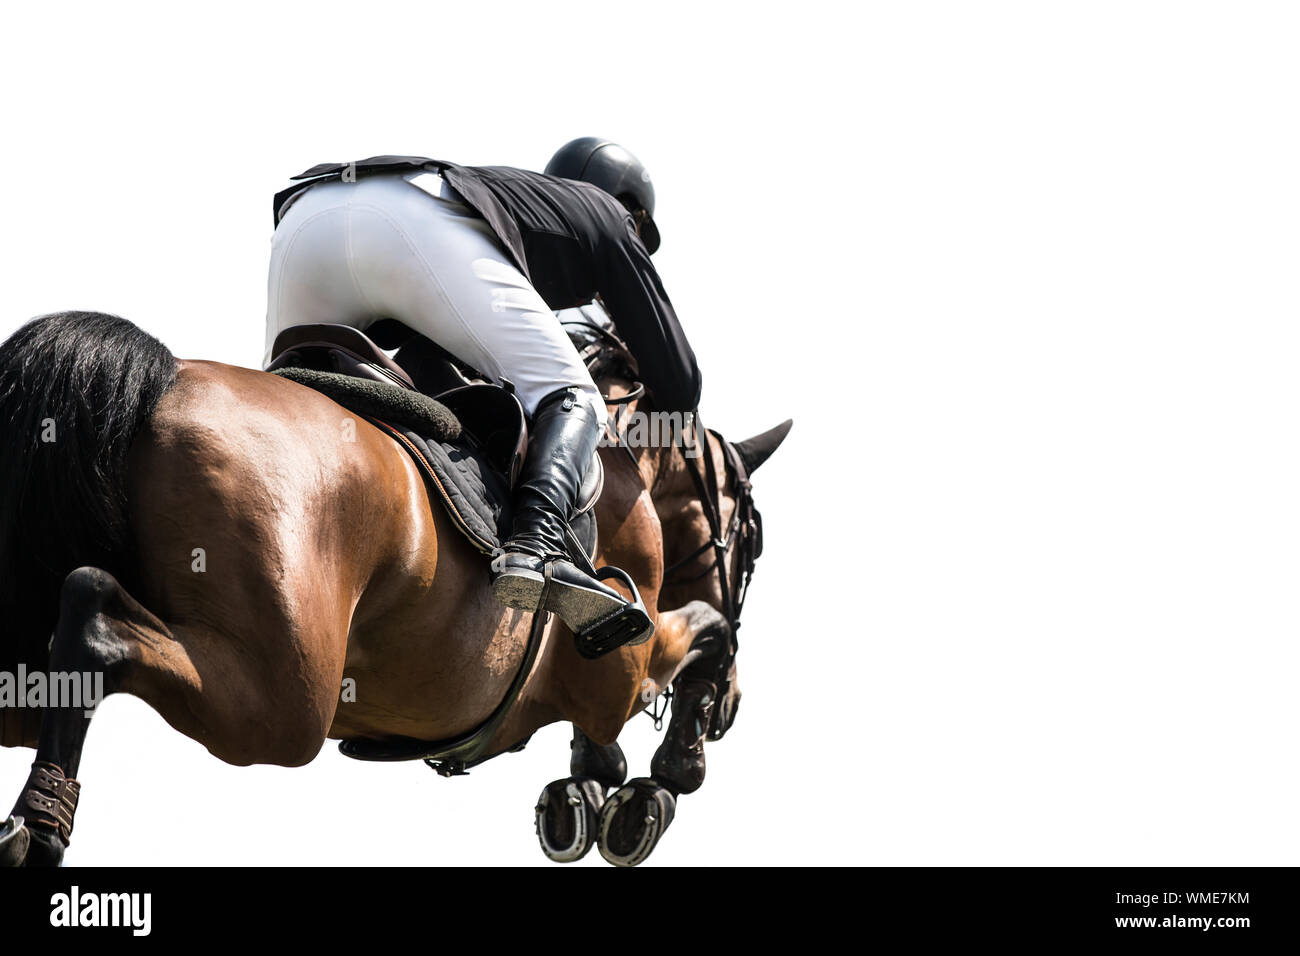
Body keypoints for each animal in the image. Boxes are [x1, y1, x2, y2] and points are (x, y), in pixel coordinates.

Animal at [0, 310, 789, 866]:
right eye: (753, 540)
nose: (733, 710)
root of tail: (158, 381)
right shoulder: (621, 665)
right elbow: (706, 632)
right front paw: (659, 780)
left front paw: (593, 783)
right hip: (281, 707)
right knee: (96, 619)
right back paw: (41, 828)